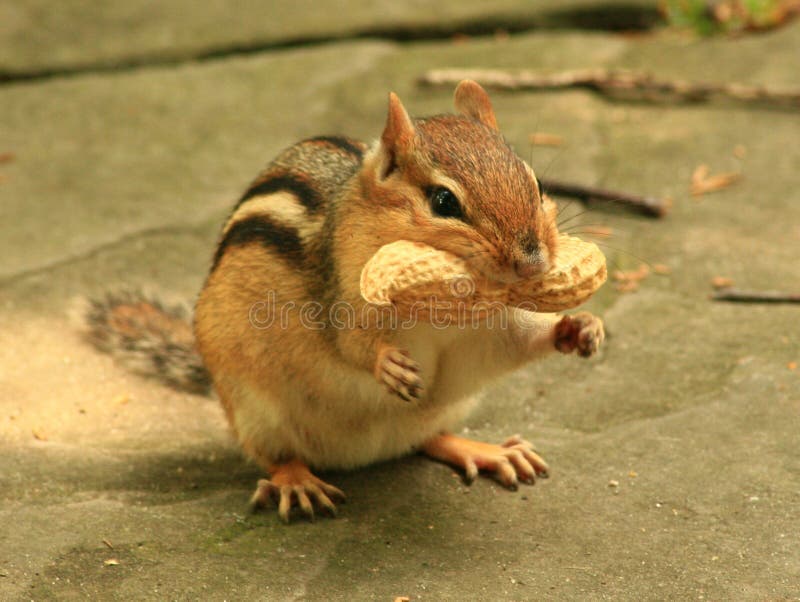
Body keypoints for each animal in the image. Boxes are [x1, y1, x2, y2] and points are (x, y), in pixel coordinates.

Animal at [86, 80, 604, 523]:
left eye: (537, 185)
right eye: (443, 201)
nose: (532, 261)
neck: (441, 310)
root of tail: (363, 452)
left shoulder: (486, 332)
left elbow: (515, 342)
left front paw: (579, 328)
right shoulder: (340, 298)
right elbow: (349, 343)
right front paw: (387, 363)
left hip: (447, 406)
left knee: (429, 438)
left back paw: (487, 450)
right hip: (254, 408)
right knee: (275, 456)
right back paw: (297, 482)